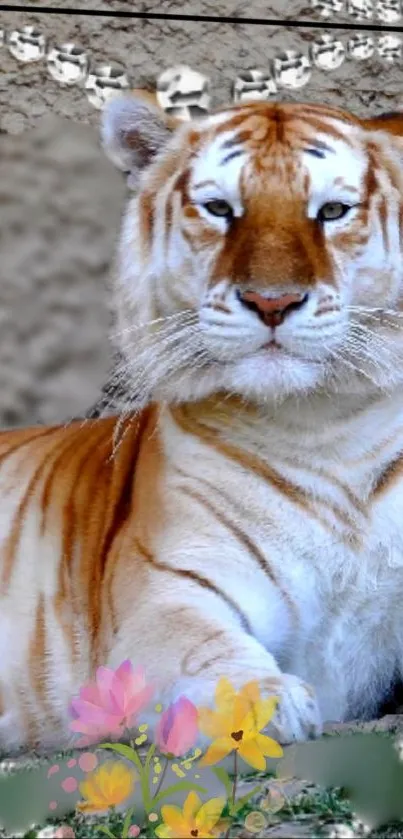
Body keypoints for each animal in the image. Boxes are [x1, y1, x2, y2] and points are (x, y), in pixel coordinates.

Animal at [2, 92, 403, 756]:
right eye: (220, 209)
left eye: (332, 211)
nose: (272, 301)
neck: (325, 425)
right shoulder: (170, 589)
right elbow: (206, 650)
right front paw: (263, 702)